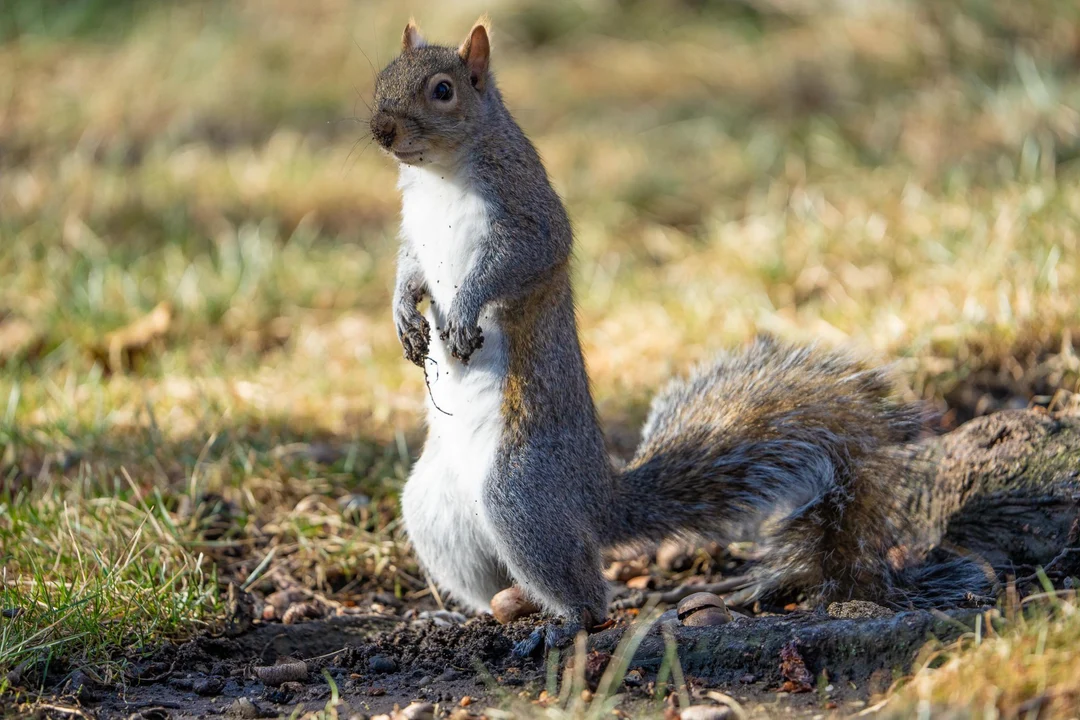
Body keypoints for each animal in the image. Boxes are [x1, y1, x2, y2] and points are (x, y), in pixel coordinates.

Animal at [369, 18, 993, 638]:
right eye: (380, 77)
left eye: (443, 90)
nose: (381, 130)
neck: (441, 177)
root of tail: (599, 500)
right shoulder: (413, 231)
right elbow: (409, 268)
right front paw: (404, 316)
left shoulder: (527, 214)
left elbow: (519, 261)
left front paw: (462, 314)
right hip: (432, 510)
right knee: (493, 580)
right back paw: (465, 618)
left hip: (521, 491)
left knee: (588, 597)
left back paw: (564, 623)